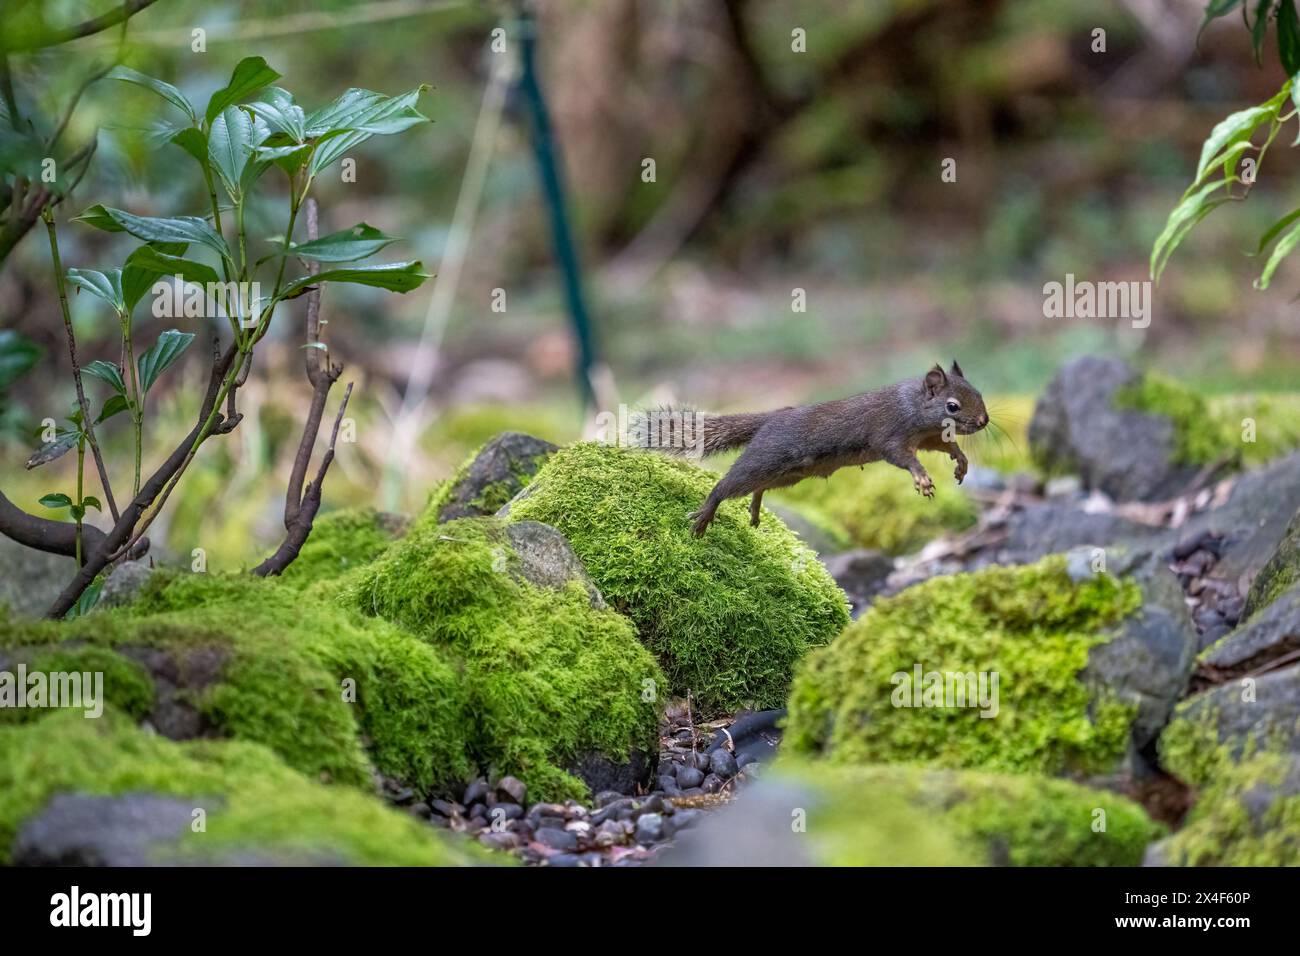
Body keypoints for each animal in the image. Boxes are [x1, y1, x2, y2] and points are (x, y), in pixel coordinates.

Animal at [646, 361, 989, 537]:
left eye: (979, 392)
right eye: (953, 406)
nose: (984, 421)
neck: (915, 406)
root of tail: (771, 418)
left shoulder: (928, 438)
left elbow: (945, 446)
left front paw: (960, 460)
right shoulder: (890, 434)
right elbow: (901, 457)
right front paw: (922, 478)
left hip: (789, 474)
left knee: (759, 486)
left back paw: (755, 509)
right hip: (765, 459)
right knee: (726, 485)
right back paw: (706, 514)